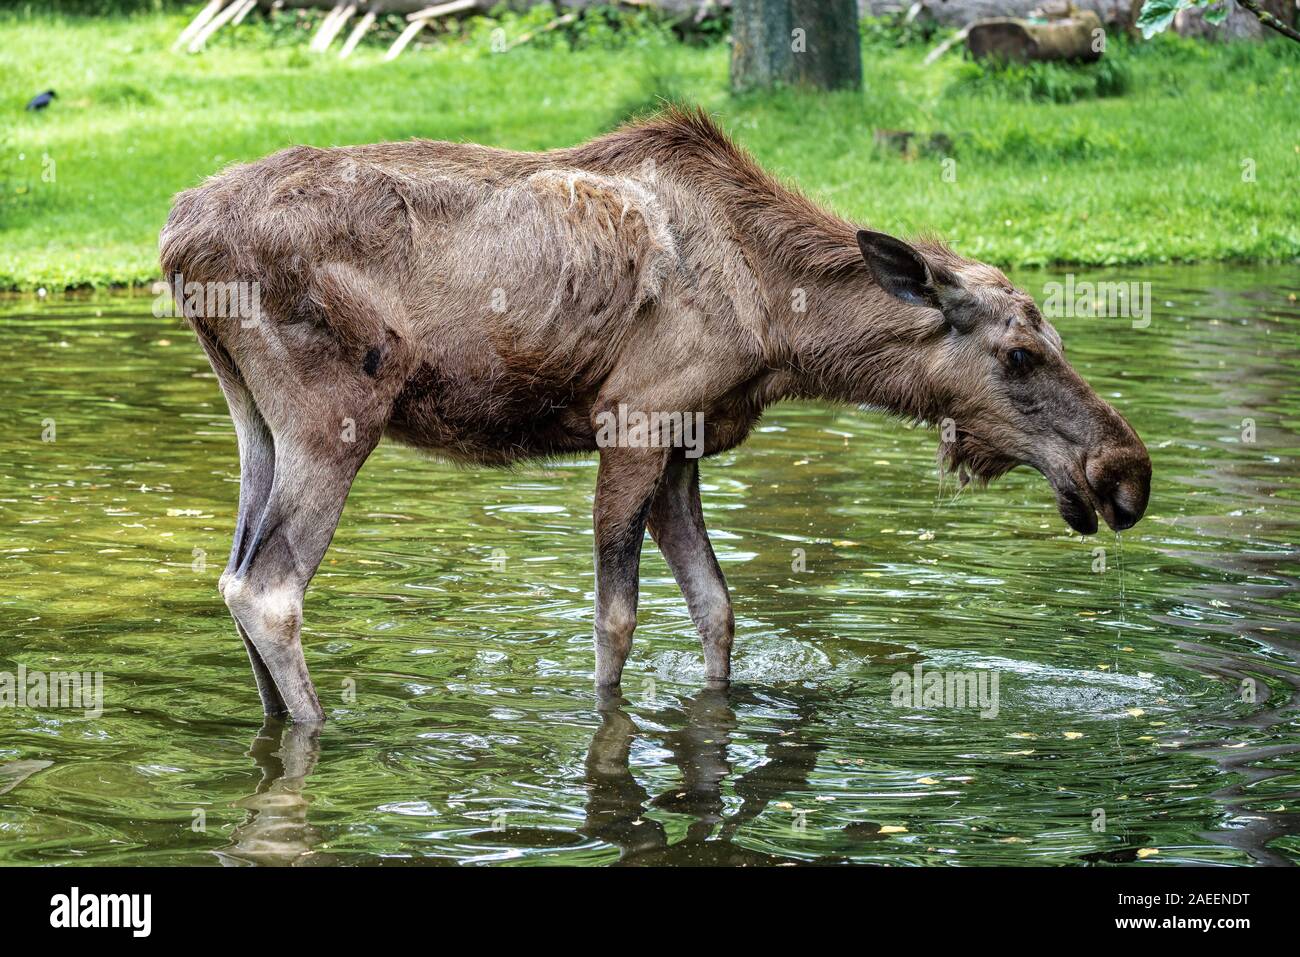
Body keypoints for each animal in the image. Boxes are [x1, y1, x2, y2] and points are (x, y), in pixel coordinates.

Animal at [160, 107, 1151, 723]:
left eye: (1054, 338)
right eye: (1020, 354)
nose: (1125, 472)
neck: (777, 318)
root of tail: (174, 235)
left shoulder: (686, 441)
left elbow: (716, 606)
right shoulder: (635, 420)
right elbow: (617, 619)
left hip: (254, 419)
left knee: (234, 574)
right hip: (335, 412)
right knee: (270, 589)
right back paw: (317, 729)